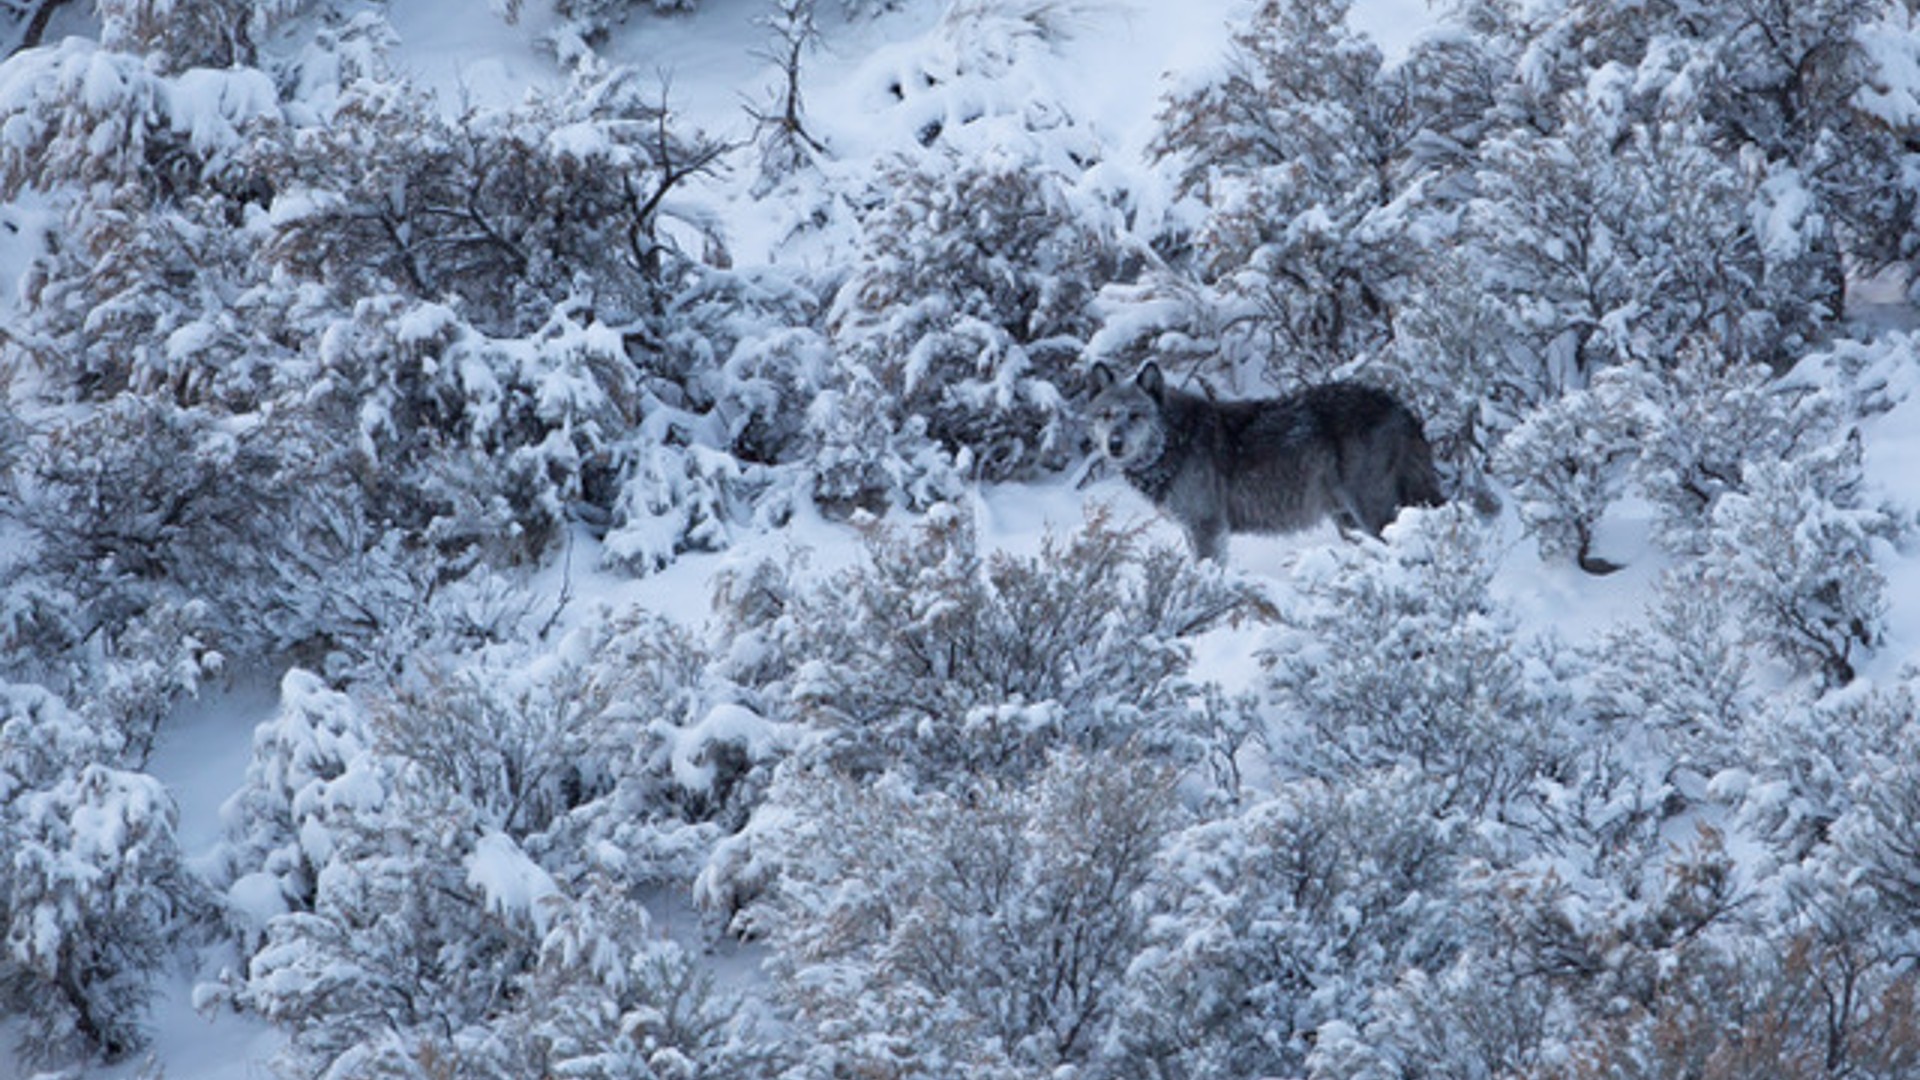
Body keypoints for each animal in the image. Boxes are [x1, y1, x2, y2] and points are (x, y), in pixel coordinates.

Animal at [1086, 361, 1442, 560]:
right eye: (1106, 415)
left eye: (1135, 415)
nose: (1114, 444)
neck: (1174, 442)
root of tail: (1400, 408)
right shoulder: (1191, 529)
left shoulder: (1207, 528)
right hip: (1348, 519)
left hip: (1371, 513)